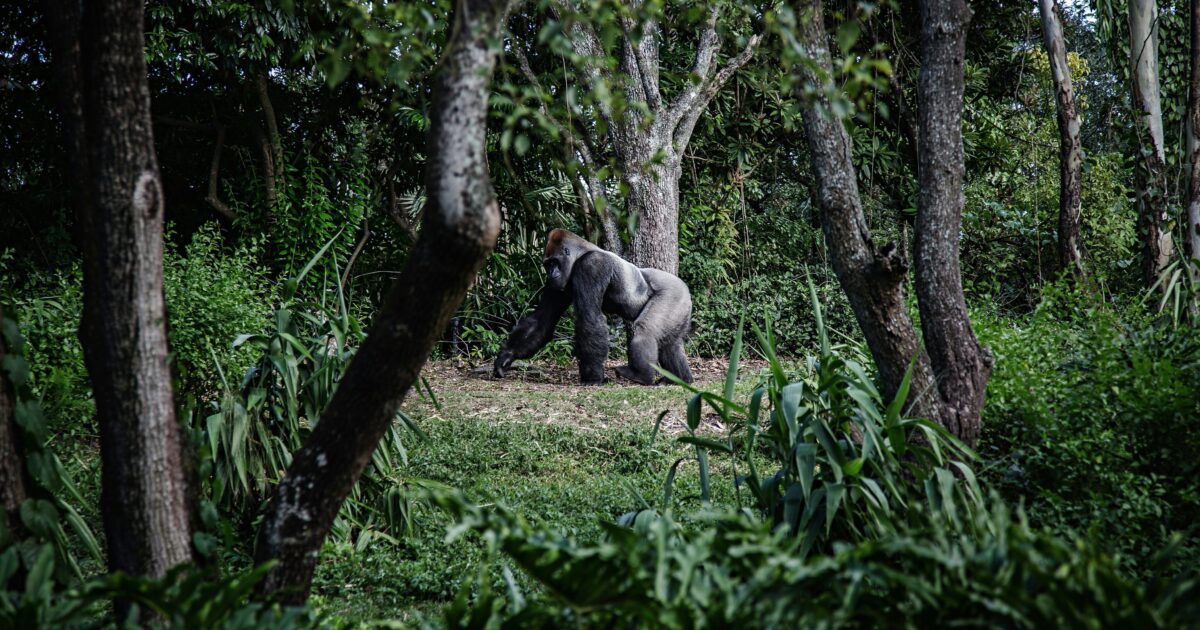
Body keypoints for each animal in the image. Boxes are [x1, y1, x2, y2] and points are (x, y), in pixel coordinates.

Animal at [493, 229, 693, 385]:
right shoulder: (558, 284)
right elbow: (542, 320)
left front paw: (593, 377)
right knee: (670, 344)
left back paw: (641, 375)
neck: (581, 253)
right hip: (681, 305)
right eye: (547, 264)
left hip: (673, 293)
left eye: (554, 262)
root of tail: (685, 288)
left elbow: (589, 317)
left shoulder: (592, 265)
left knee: (645, 330)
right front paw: (507, 356)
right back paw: (680, 378)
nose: (550, 273)